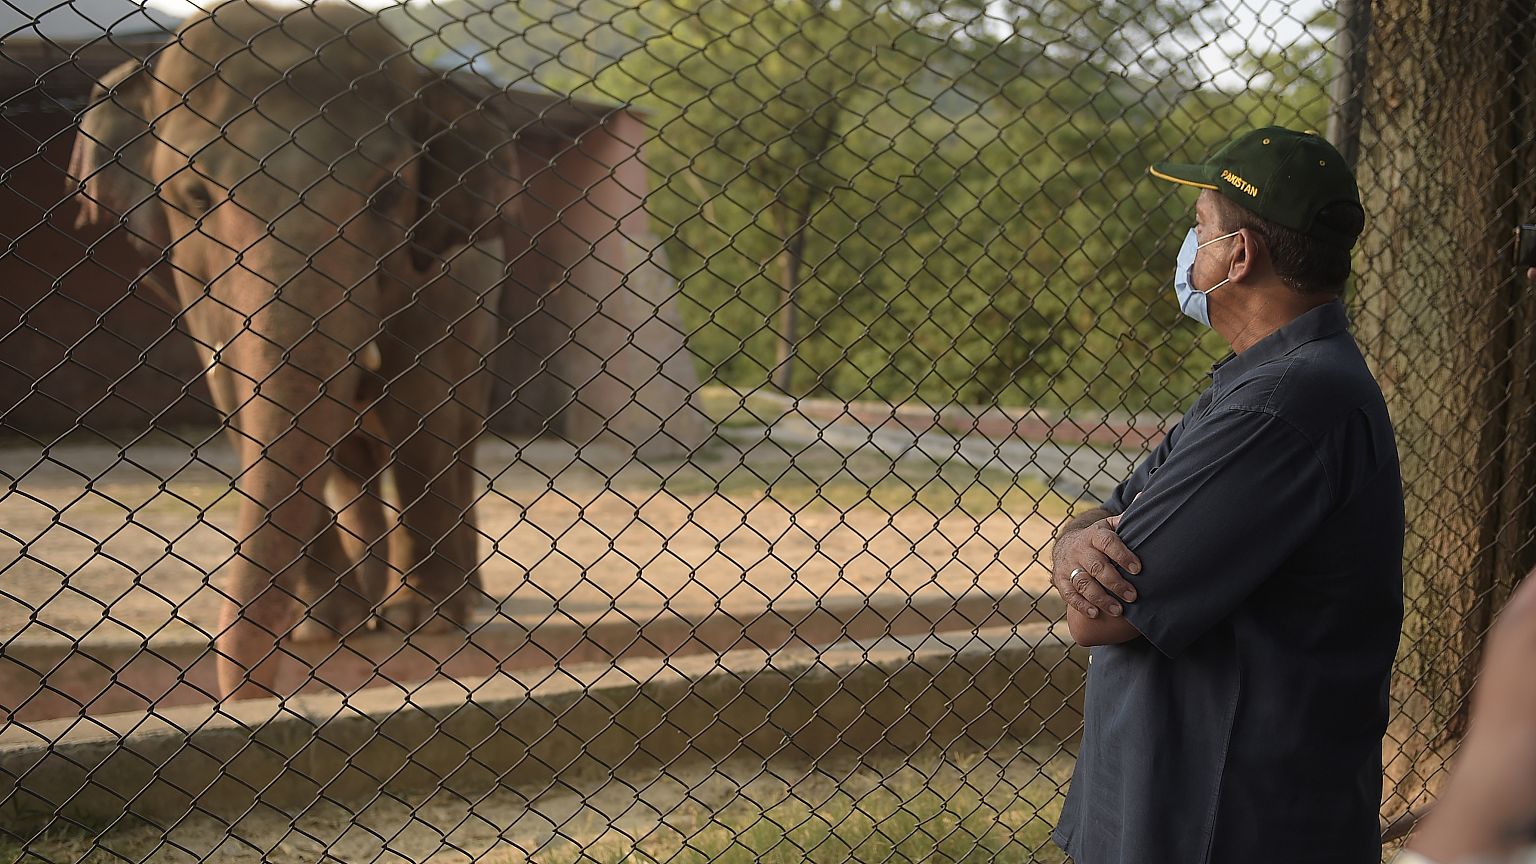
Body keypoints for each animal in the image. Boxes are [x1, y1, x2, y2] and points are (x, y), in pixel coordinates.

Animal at [66, 0, 520, 699]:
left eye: (390, 193)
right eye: (194, 196)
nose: (248, 691)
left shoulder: (440, 283)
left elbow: (419, 403)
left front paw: (426, 621)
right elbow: (234, 395)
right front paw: (322, 627)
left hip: (486, 305)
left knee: (456, 431)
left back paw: (454, 600)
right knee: (352, 464)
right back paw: (371, 604)